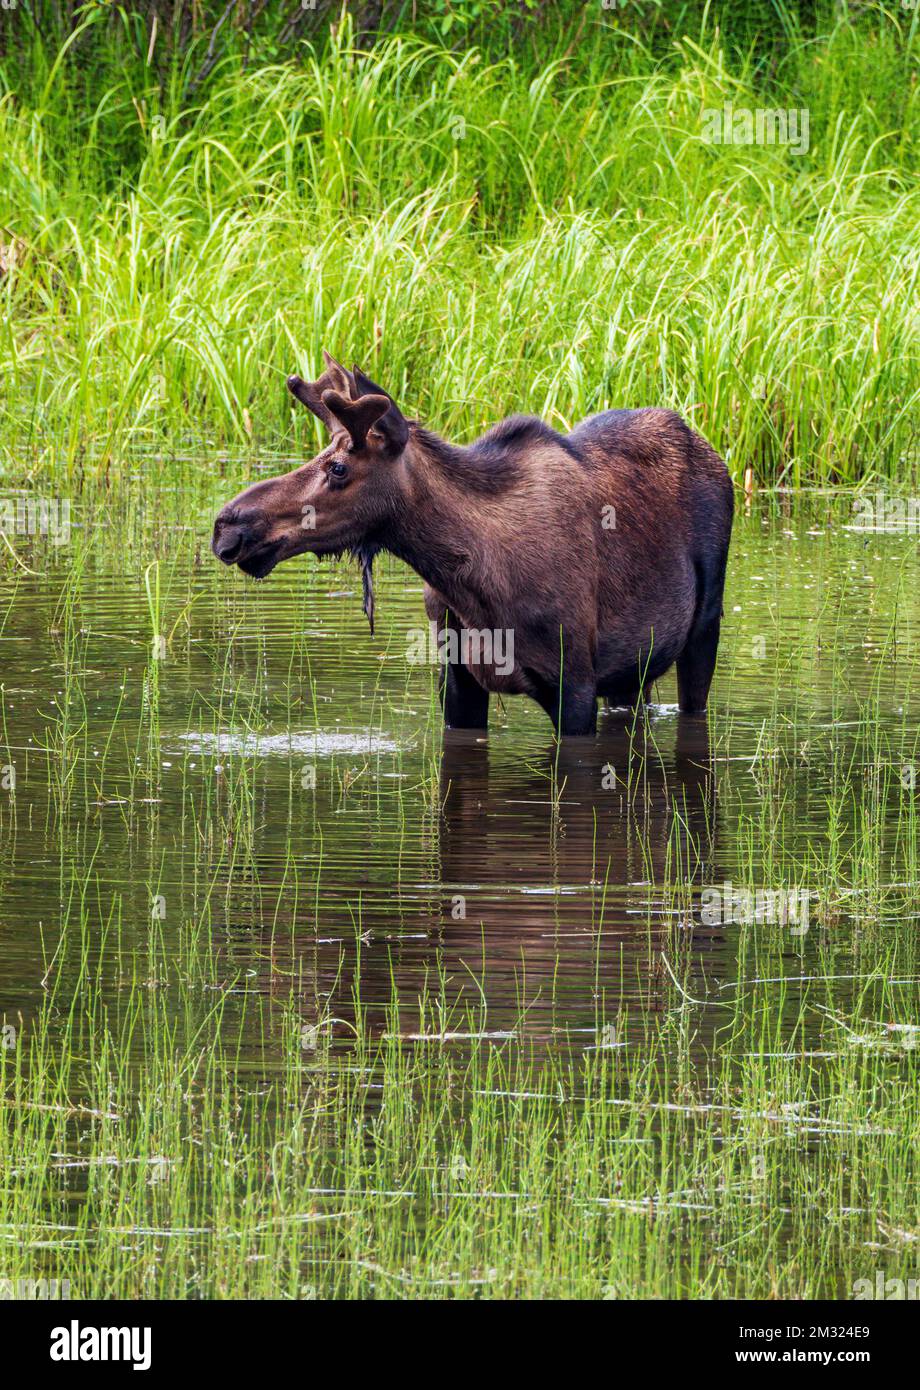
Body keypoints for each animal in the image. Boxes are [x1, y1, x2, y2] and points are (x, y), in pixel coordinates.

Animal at [212, 353, 734, 736]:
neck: (473, 581)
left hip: (703, 626)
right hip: (632, 669)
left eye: (339, 467)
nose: (227, 527)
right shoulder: (457, 679)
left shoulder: (576, 684)